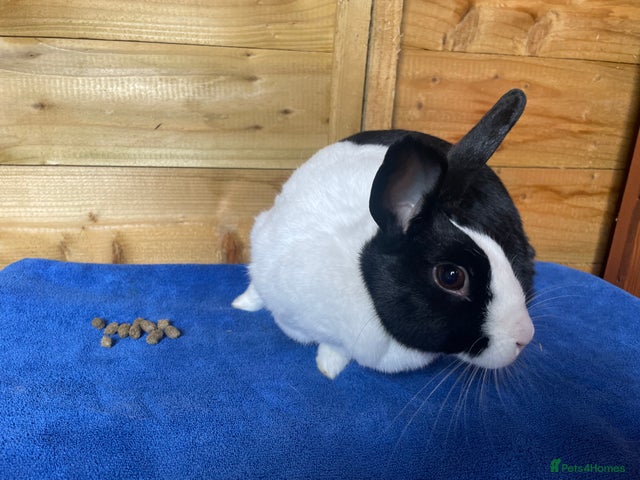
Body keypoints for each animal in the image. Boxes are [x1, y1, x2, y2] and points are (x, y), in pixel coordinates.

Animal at [233, 89, 535, 379]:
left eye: (500, 251)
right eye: (451, 276)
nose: (525, 337)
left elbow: (334, 348)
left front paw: (328, 366)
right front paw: (241, 304)